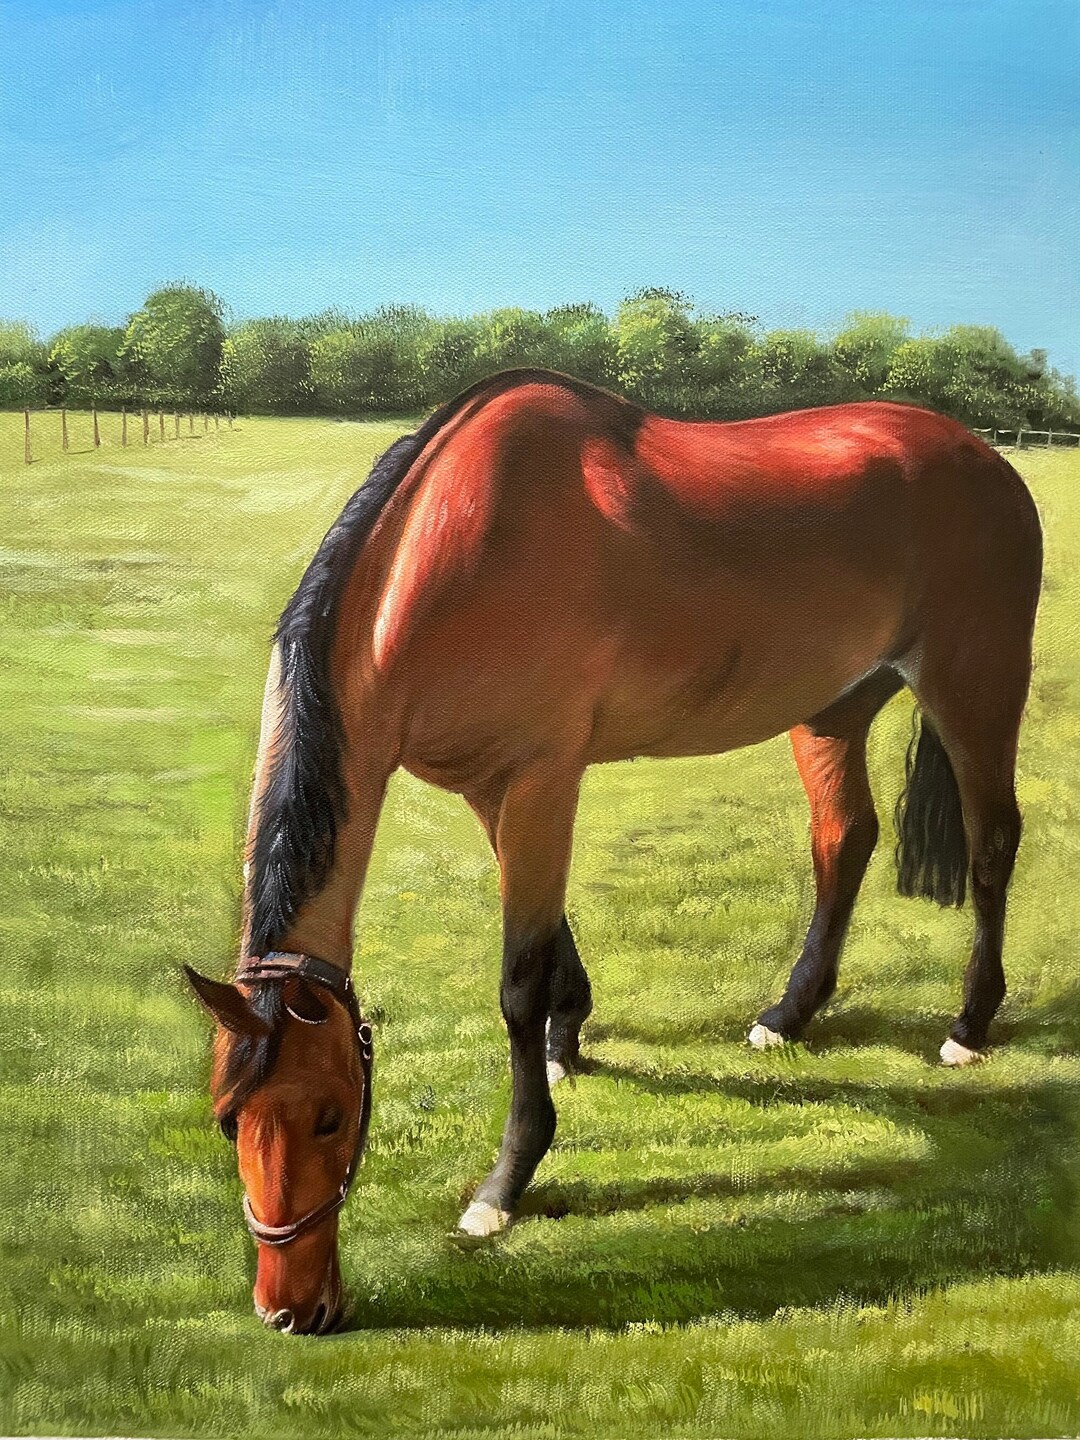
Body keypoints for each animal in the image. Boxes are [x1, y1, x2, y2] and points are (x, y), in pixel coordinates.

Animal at [185, 367, 1042, 1334]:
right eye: (229, 1120)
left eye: (332, 1117)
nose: (290, 1312)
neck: (450, 547)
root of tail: (983, 457)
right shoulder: (494, 789)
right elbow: (551, 933)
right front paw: (571, 1037)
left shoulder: (541, 776)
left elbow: (518, 981)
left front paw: (506, 1182)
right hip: (833, 707)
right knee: (844, 840)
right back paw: (789, 1015)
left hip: (976, 686)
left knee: (992, 842)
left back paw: (968, 1026)